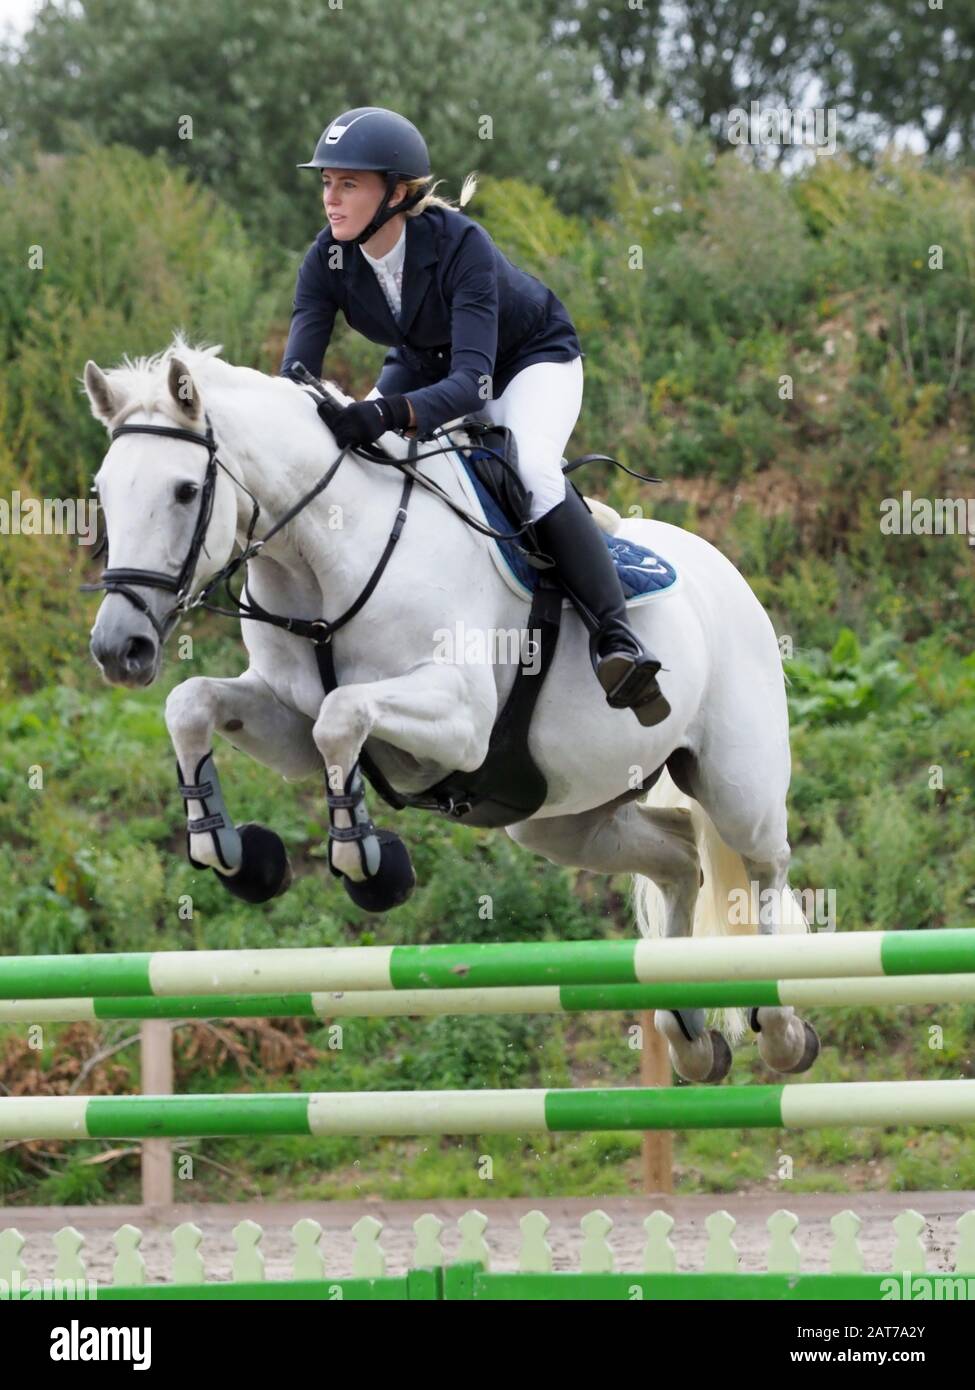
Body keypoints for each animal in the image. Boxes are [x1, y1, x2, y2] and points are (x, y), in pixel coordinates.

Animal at [80, 335, 817, 1085]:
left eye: (184, 489)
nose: (119, 648)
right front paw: (234, 855)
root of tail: (719, 567)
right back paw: (689, 1034)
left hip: (734, 780)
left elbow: (342, 715)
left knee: (763, 866)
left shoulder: (460, 724)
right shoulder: (284, 720)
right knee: (677, 857)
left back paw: (781, 1026)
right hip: (559, 814)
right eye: (103, 492)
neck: (321, 556)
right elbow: (193, 705)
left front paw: (368, 865)